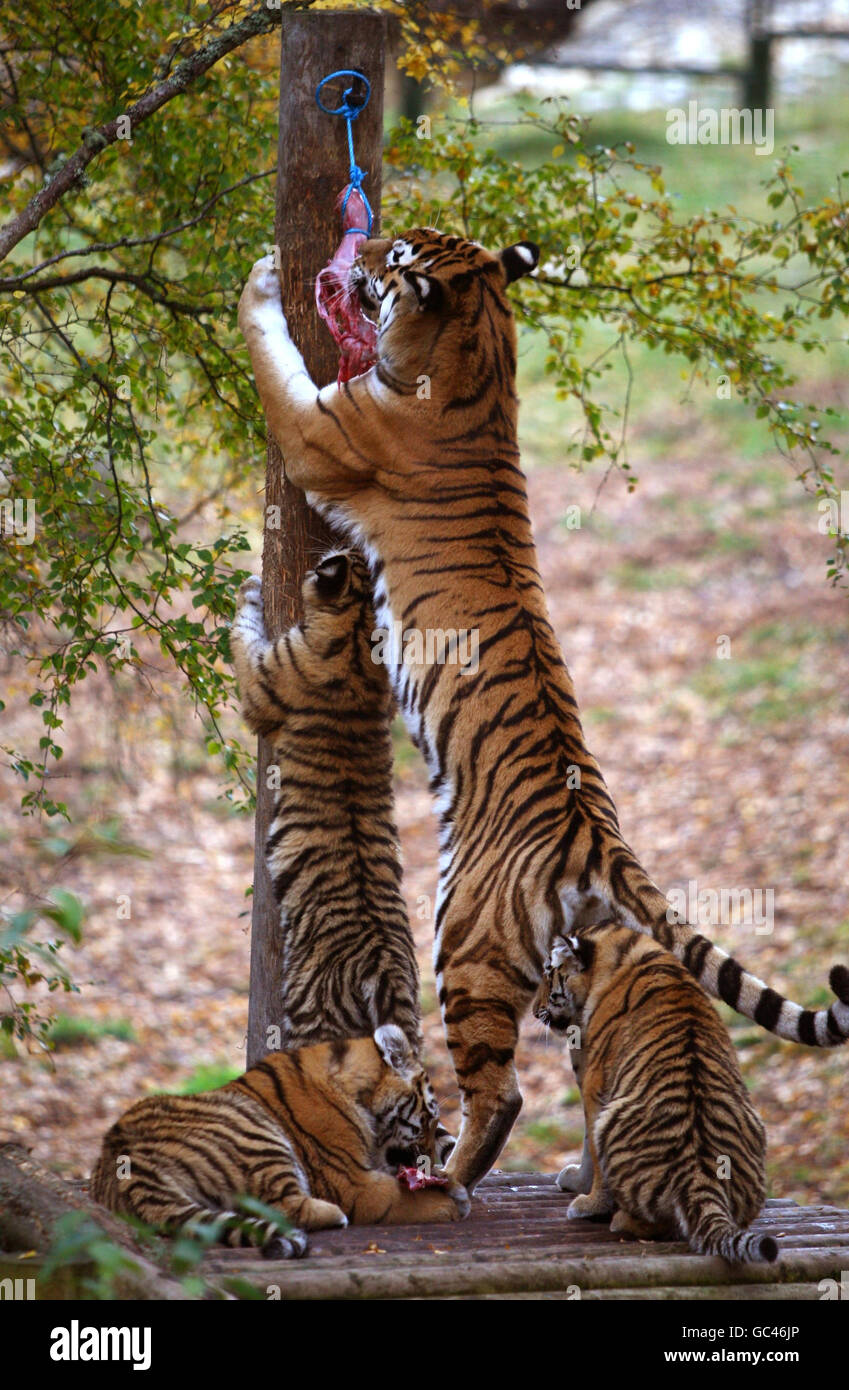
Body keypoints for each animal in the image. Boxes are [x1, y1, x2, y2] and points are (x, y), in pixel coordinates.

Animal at [89, 1025, 468, 1257]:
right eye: (429, 1118)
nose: (433, 1158)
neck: (358, 1091)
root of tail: (121, 1157)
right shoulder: (352, 1183)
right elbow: (399, 1196)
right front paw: (451, 1200)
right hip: (257, 1135)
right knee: (287, 1206)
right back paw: (333, 1215)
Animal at [237, 227, 849, 1195]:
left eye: (397, 254)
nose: (363, 249)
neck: (481, 359)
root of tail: (593, 834)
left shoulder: (317, 432)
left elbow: (274, 361)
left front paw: (259, 281)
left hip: (464, 943)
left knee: (501, 1090)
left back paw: (452, 1176)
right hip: (577, 956)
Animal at [533, 922, 779, 1264]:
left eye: (548, 973)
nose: (534, 1011)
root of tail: (701, 1176)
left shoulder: (595, 1088)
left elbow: (592, 1155)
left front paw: (588, 1202)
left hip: (612, 1119)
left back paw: (619, 1219)